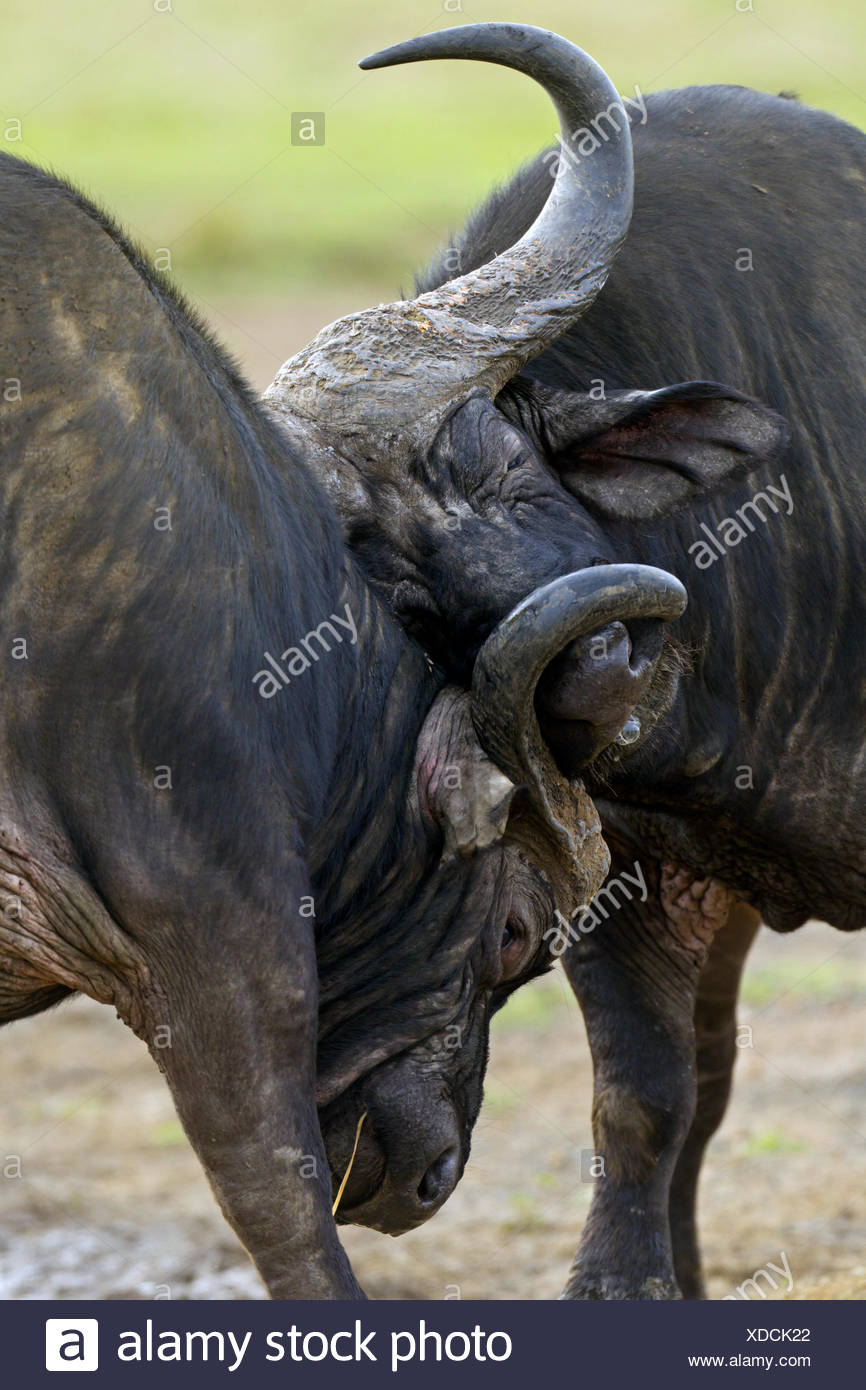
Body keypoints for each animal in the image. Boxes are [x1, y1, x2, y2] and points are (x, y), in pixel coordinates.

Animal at [264, 23, 866, 1297]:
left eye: (494, 463)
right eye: (397, 603)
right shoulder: (620, 881)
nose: (592, 665)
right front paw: (624, 1282)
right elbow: (642, 1097)